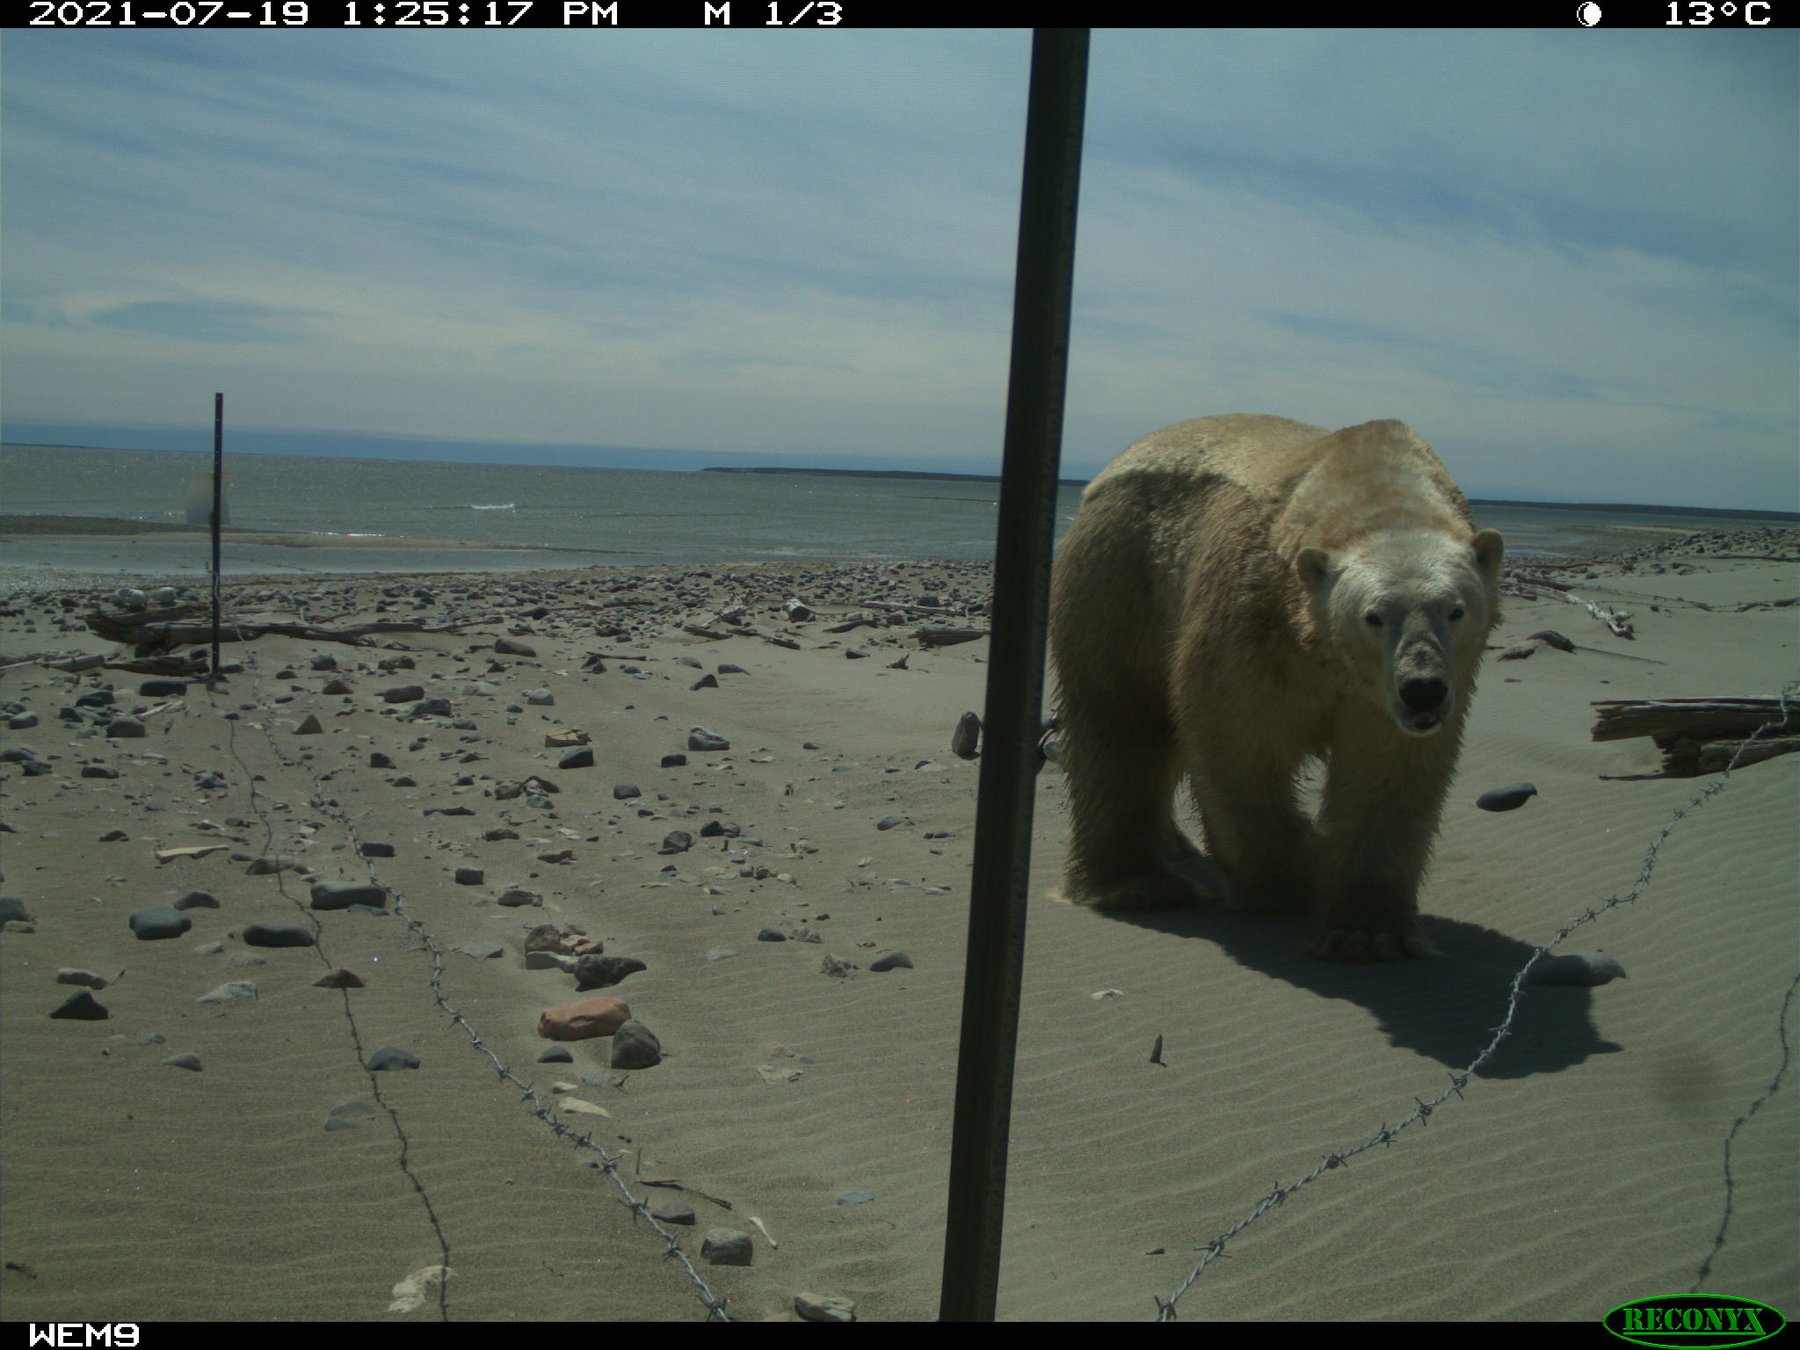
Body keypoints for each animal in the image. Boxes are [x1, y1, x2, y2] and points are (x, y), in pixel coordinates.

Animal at [1049, 413, 1504, 961]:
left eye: (1454, 610)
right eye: (1374, 616)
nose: (1423, 690)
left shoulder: (1390, 693)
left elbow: (1387, 769)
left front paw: (1369, 931)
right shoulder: (1253, 616)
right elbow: (1238, 738)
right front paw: (1292, 877)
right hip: (1121, 571)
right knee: (1121, 717)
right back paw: (1140, 884)